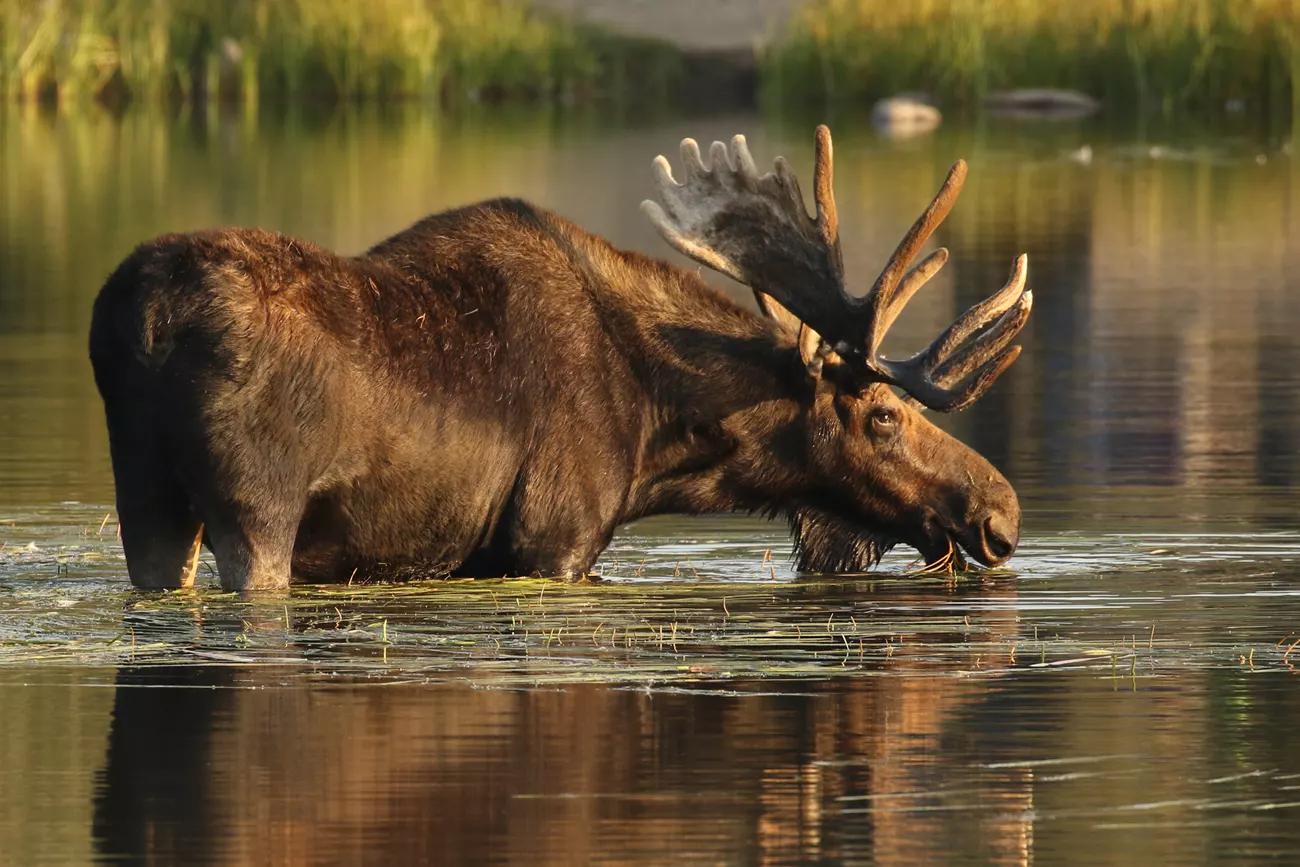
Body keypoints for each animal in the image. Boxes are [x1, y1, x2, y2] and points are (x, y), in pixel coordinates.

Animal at [89, 125, 1031, 591]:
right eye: (884, 413)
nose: (1003, 512)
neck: (659, 438)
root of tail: (143, 319)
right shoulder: (555, 538)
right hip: (259, 509)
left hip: (146, 498)